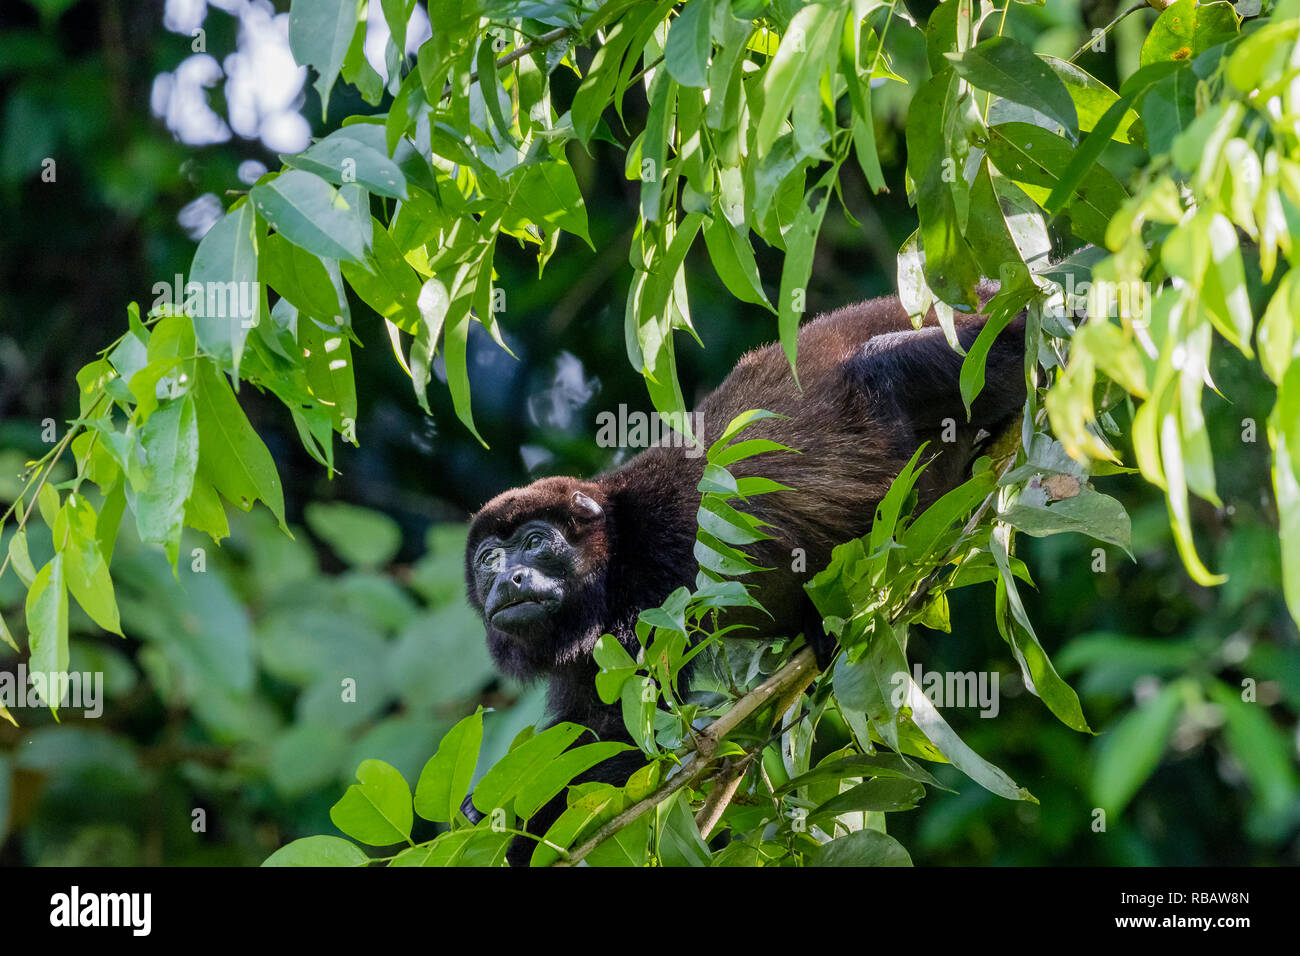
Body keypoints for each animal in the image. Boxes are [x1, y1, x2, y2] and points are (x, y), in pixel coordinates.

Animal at [462, 288, 1027, 863]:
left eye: (535, 543)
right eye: (490, 559)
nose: (509, 580)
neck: (616, 549)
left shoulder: (653, 587)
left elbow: (631, 736)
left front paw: (502, 827)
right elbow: (591, 727)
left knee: (885, 365)